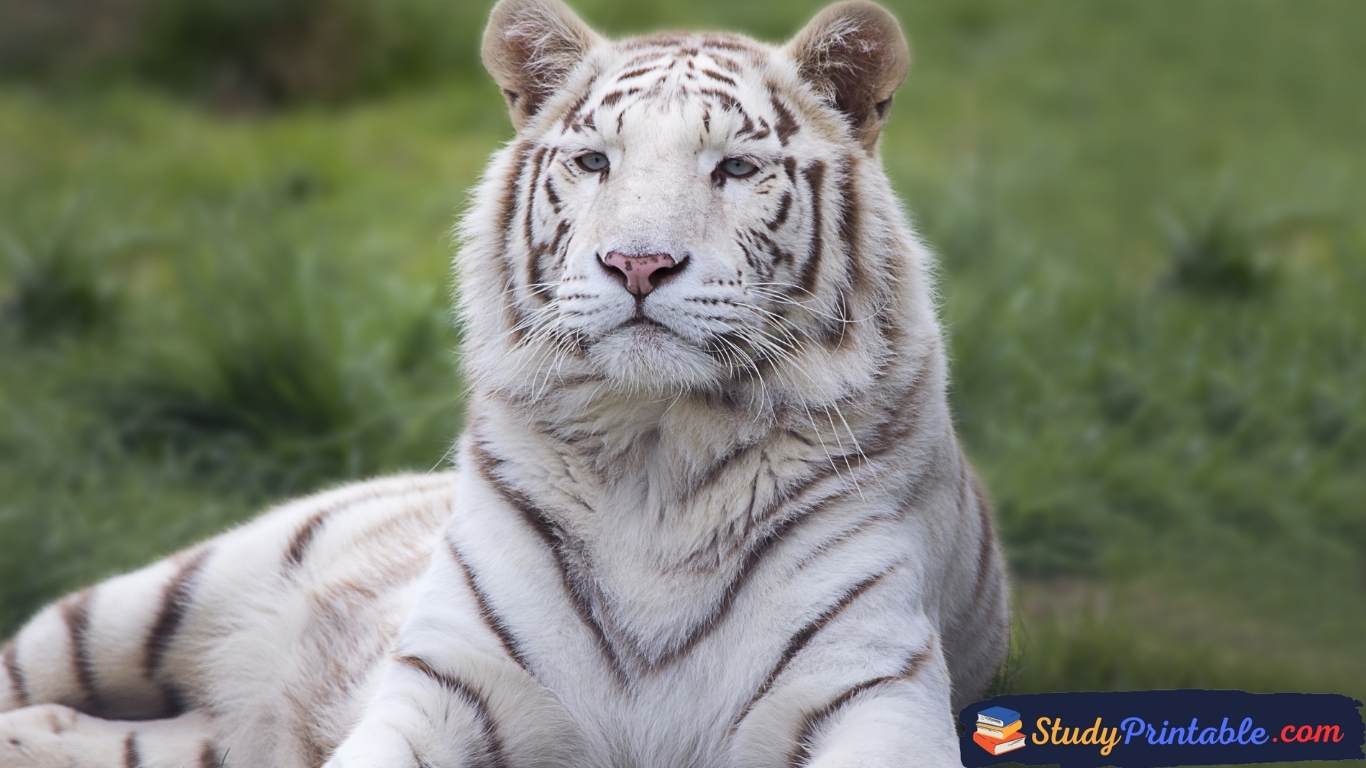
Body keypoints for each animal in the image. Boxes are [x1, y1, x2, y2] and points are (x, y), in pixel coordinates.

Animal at [0, 0, 1011, 766]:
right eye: (595, 159)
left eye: (736, 167)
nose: (637, 263)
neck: (658, 454)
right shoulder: (450, 681)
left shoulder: (866, 682)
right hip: (153, 599)